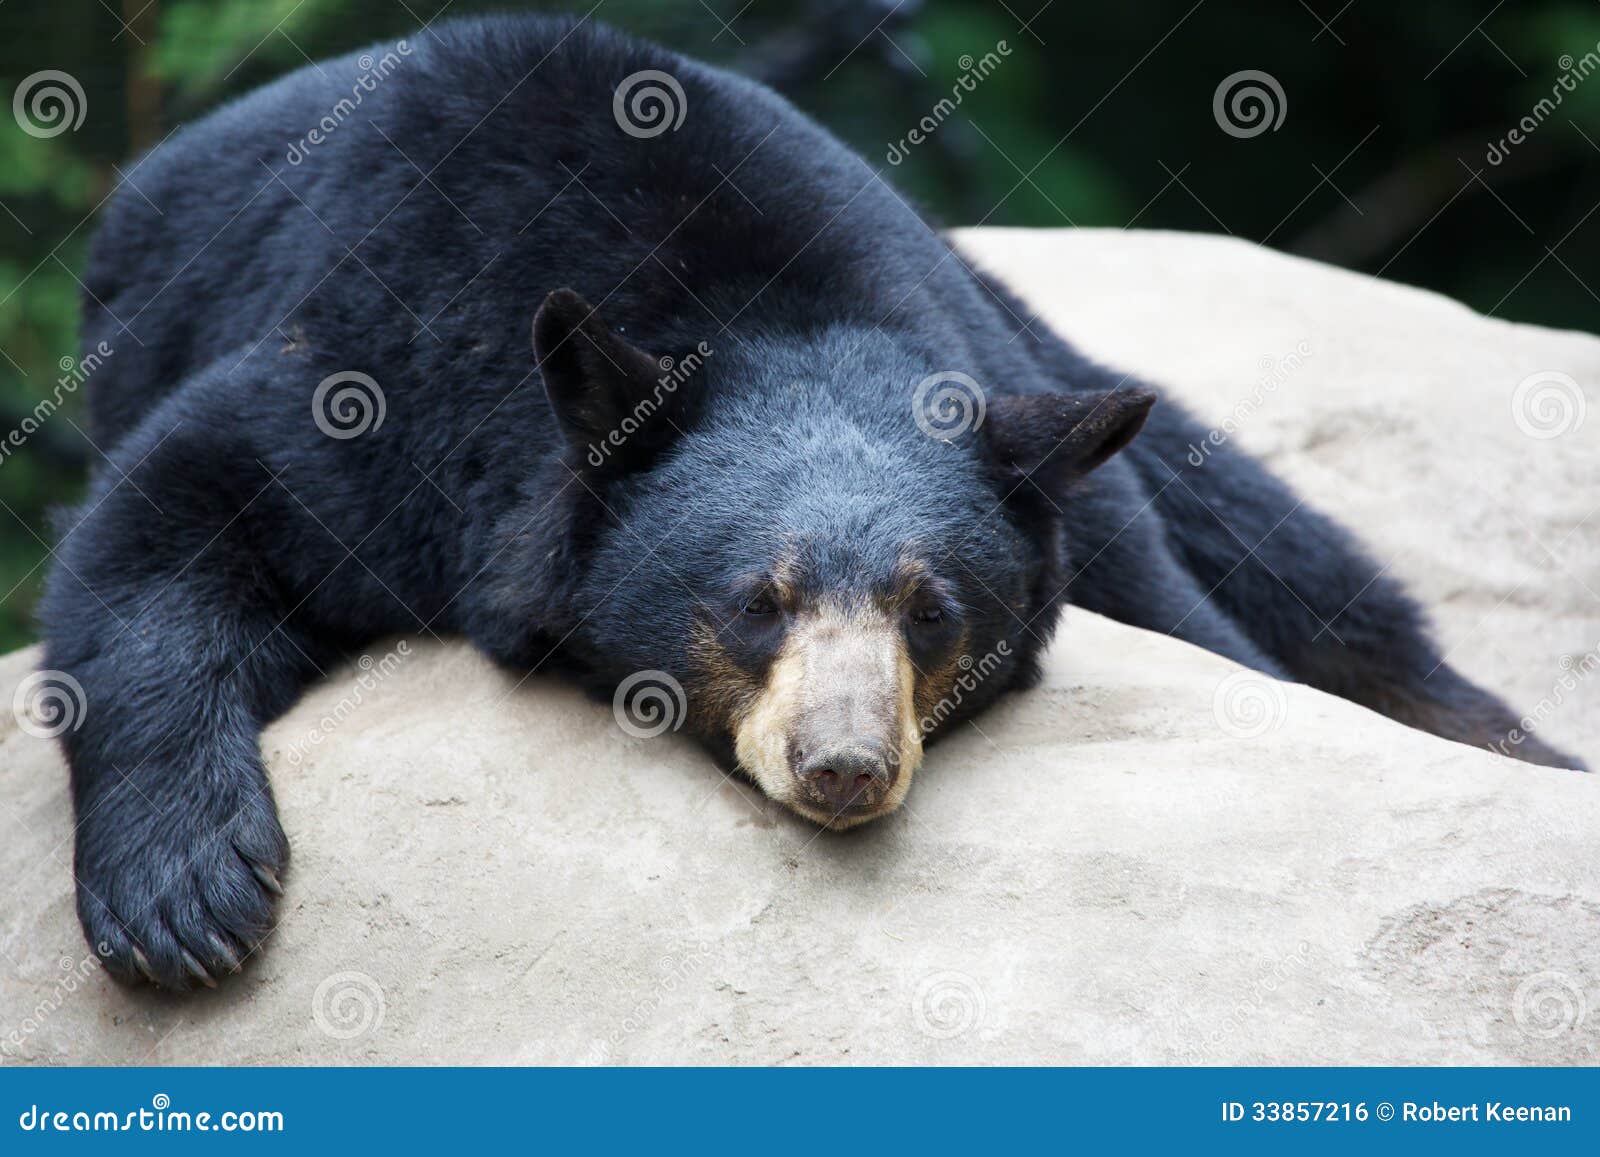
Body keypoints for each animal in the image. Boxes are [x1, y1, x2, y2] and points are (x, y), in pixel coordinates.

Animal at [42, 13, 1583, 991]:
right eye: (756, 599)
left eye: (932, 609)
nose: (844, 763)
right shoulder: (375, 374)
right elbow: (169, 513)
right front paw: (185, 900)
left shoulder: (1014, 405)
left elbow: (1207, 628)